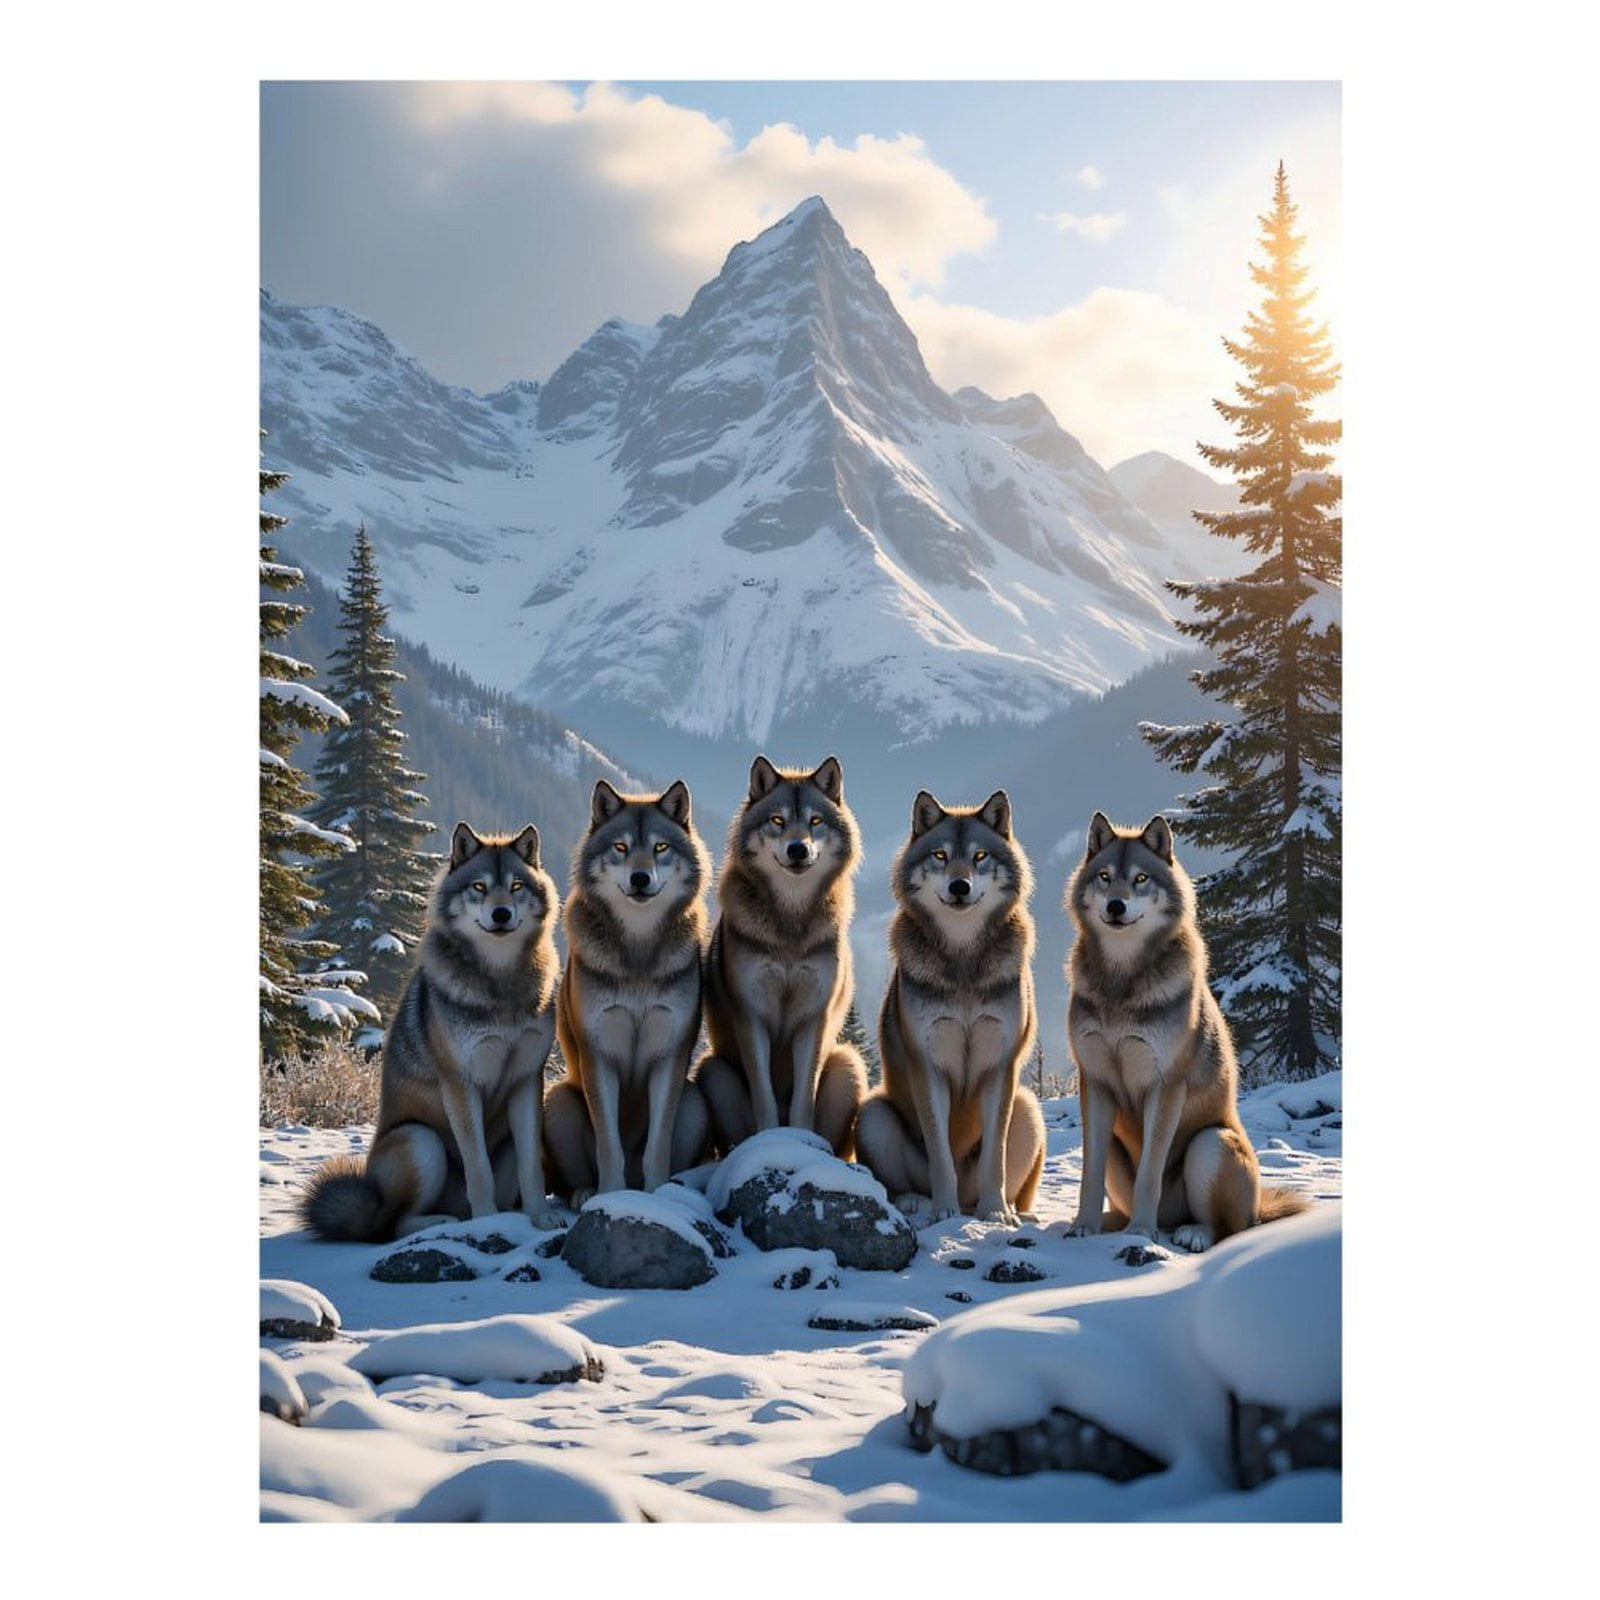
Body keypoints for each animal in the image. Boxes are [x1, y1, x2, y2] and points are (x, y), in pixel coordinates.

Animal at [300, 823, 565, 1242]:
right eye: (479, 886)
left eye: (517, 886)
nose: (501, 913)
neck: (500, 984)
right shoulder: (460, 1083)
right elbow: (478, 1168)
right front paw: (487, 1222)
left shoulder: (526, 1080)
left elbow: (531, 1170)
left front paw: (540, 1218)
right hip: (421, 1140)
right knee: (395, 1224)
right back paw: (448, 1221)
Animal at [542, 779, 712, 1201]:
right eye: (620, 847)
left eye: (660, 848)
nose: (639, 878)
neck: (638, 954)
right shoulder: (598, 1055)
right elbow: (609, 1145)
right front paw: (611, 1193)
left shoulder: (670, 1055)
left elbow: (657, 1145)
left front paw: (656, 1194)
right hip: (557, 1100)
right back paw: (586, 1192)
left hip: (694, 1103)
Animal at [695, 755, 867, 1157]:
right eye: (777, 821)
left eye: (815, 822)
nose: (798, 849)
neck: (790, 924)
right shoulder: (751, 1014)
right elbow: (765, 1097)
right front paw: (770, 1139)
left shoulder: (814, 1018)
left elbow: (805, 1098)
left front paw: (800, 1141)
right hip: (713, 1069)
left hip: (849, 1061)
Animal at [855, 790, 1046, 1225]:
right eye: (940, 856)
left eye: (979, 857)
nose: (960, 886)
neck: (963, 966)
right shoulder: (928, 1066)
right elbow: (940, 1153)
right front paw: (944, 1211)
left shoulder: (1001, 1068)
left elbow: (995, 1155)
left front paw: (996, 1214)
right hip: (873, 1114)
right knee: (898, 1187)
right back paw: (920, 1203)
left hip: (1028, 1107)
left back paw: (1010, 1210)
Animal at [1065, 811, 1309, 1252]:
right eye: (1105, 877)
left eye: (1141, 879)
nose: (1115, 905)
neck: (1122, 985)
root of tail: (1258, 1208)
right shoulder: (1095, 1081)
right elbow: (1088, 1176)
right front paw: (1082, 1227)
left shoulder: (1166, 1085)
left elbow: (1149, 1173)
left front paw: (1141, 1233)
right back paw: (1113, 1223)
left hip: (1210, 1143)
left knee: (1226, 1228)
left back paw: (1187, 1232)